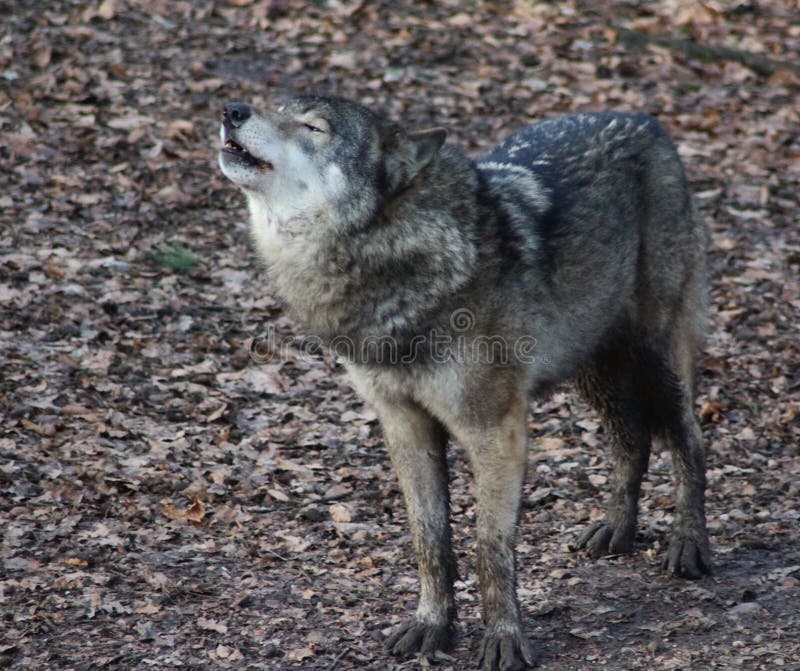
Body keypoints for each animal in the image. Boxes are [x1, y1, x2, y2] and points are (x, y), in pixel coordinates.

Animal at [218, 94, 710, 670]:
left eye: (313, 127)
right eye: (276, 107)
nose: (233, 109)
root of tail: (646, 121)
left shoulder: (495, 431)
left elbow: (488, 547)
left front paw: (502, 640)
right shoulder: (404, 425)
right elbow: (429, 539)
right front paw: (432, 626)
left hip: (656, 356)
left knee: (688, 439)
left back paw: (689, 545)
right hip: (594, 367)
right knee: (631, 437)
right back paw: (616, 530)